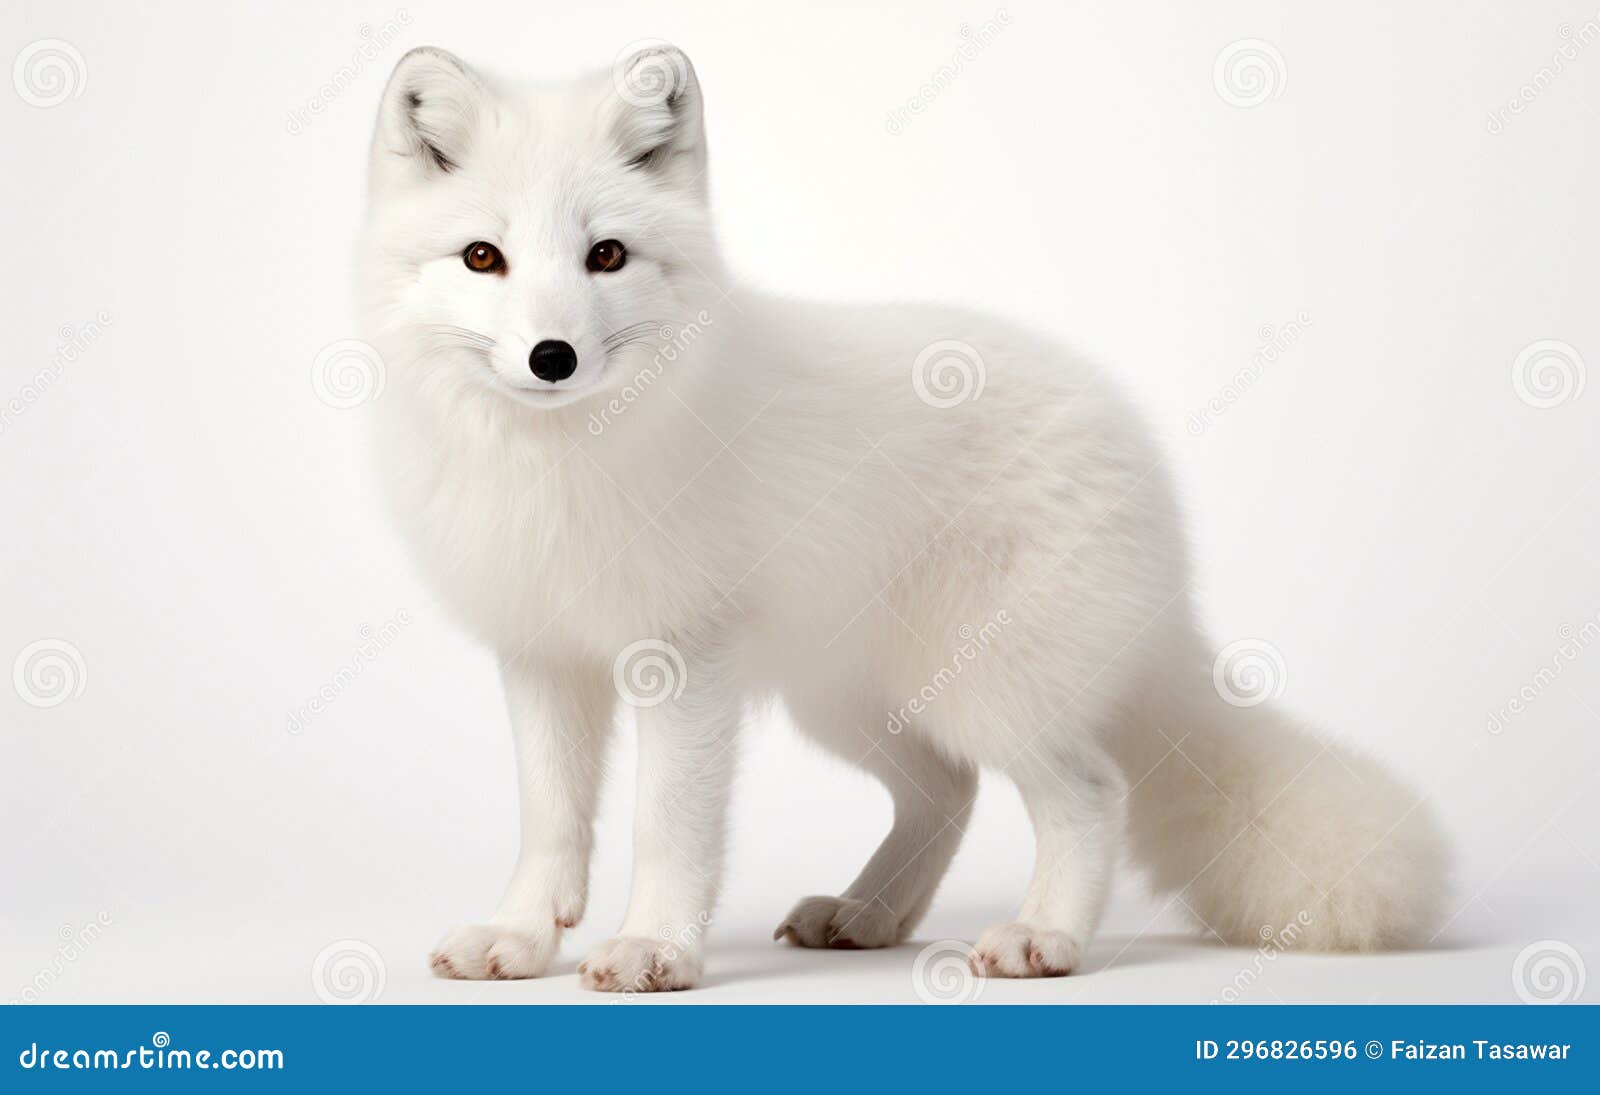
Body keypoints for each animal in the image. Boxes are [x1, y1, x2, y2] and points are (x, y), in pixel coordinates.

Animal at [359, 43, 1447, 992]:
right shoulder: (541, 654)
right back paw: (869, 914)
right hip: (854, 697)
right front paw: (518, 936)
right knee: (946, 791)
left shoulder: (684, 657)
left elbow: (666, 824)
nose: (552, 357)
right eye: (483, 257)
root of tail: (1147, 481)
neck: (556, 460)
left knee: (1091, 793)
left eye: (608, 255)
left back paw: (1044, 938)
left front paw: (654, 949)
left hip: (987, 690)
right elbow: (550, 822)